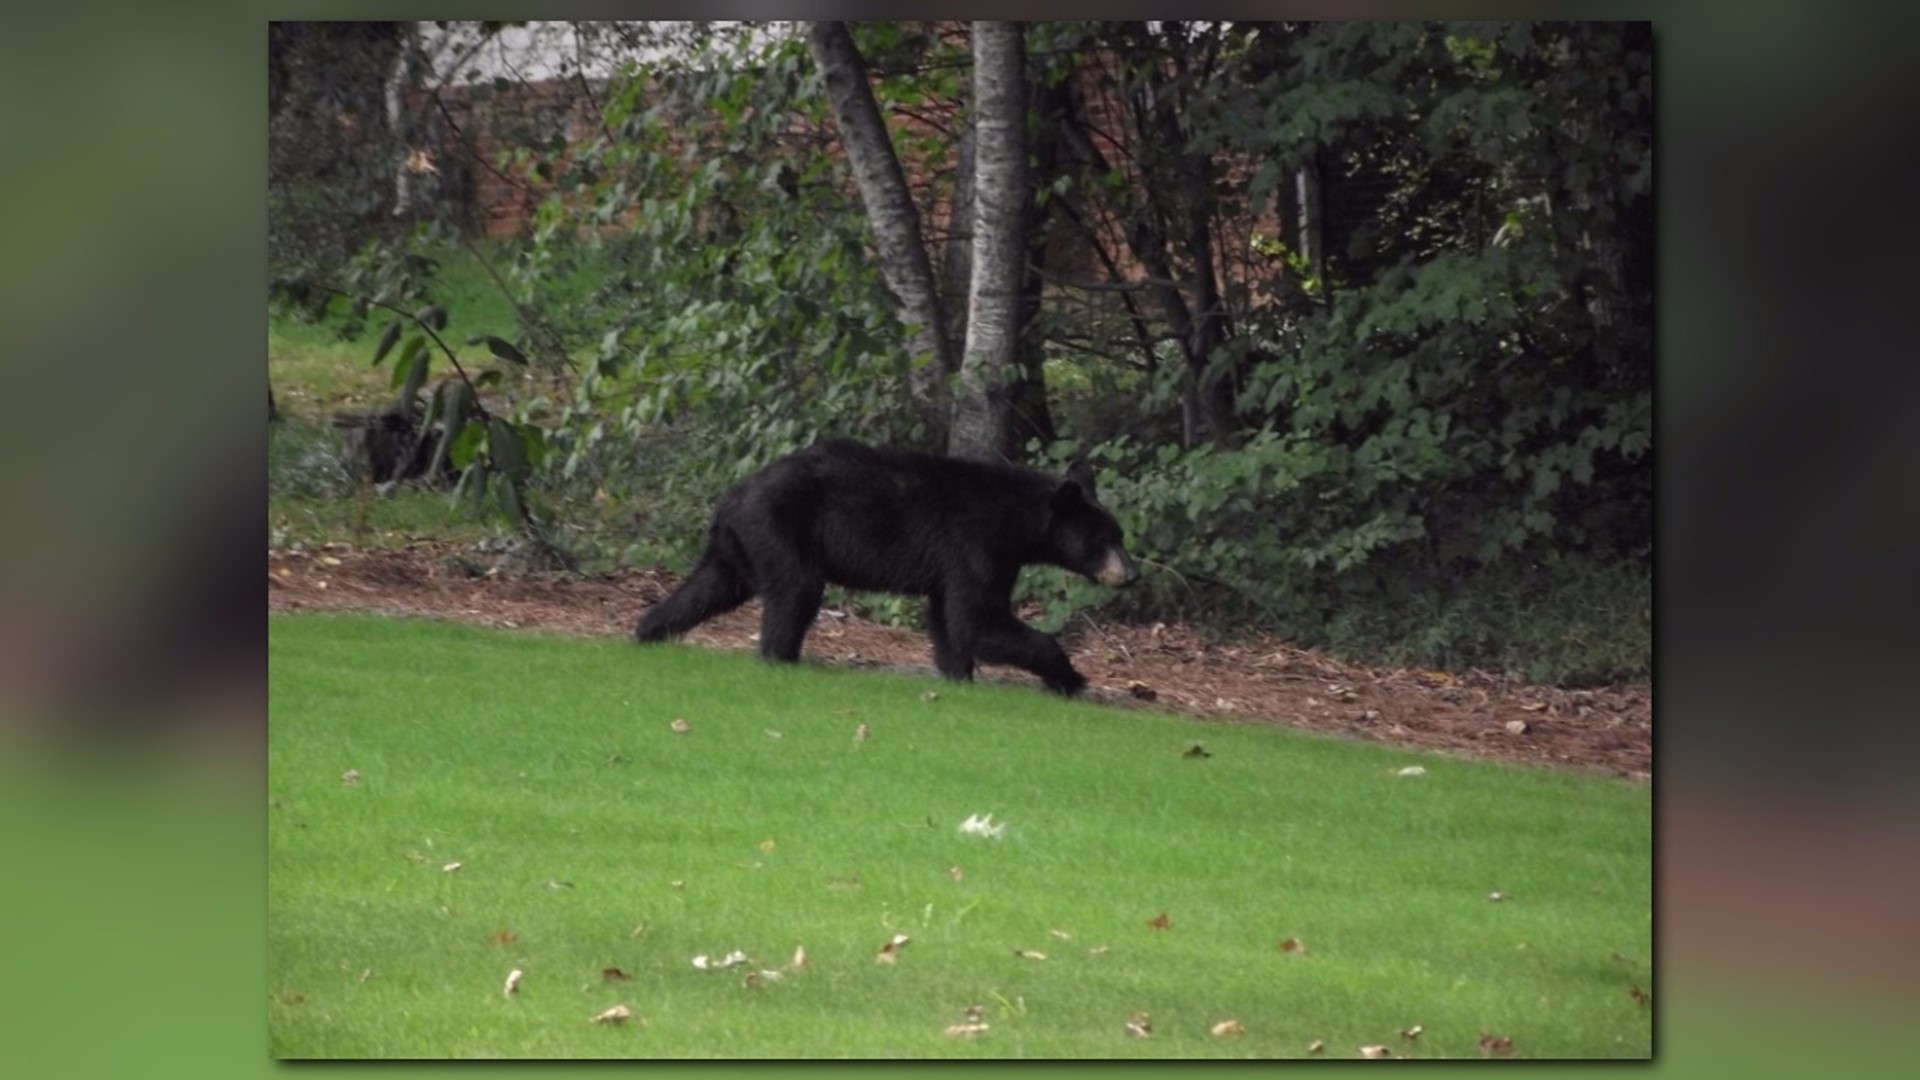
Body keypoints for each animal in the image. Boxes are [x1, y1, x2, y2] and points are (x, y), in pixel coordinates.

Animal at [634, 438, 1138, 695]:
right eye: (1104, 540)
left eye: (1121, 535)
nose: (1131, 574)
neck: (1016, 521)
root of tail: (731, 497)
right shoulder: (977, 545)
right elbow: (979, 618)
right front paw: (1071, 677)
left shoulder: (963, 562)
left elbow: (949, 621)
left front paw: (958, 675)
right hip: (781, 526)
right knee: (797, 589)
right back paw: (783, 657)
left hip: (740, 543)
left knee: (711, 585)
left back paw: (649, 629)